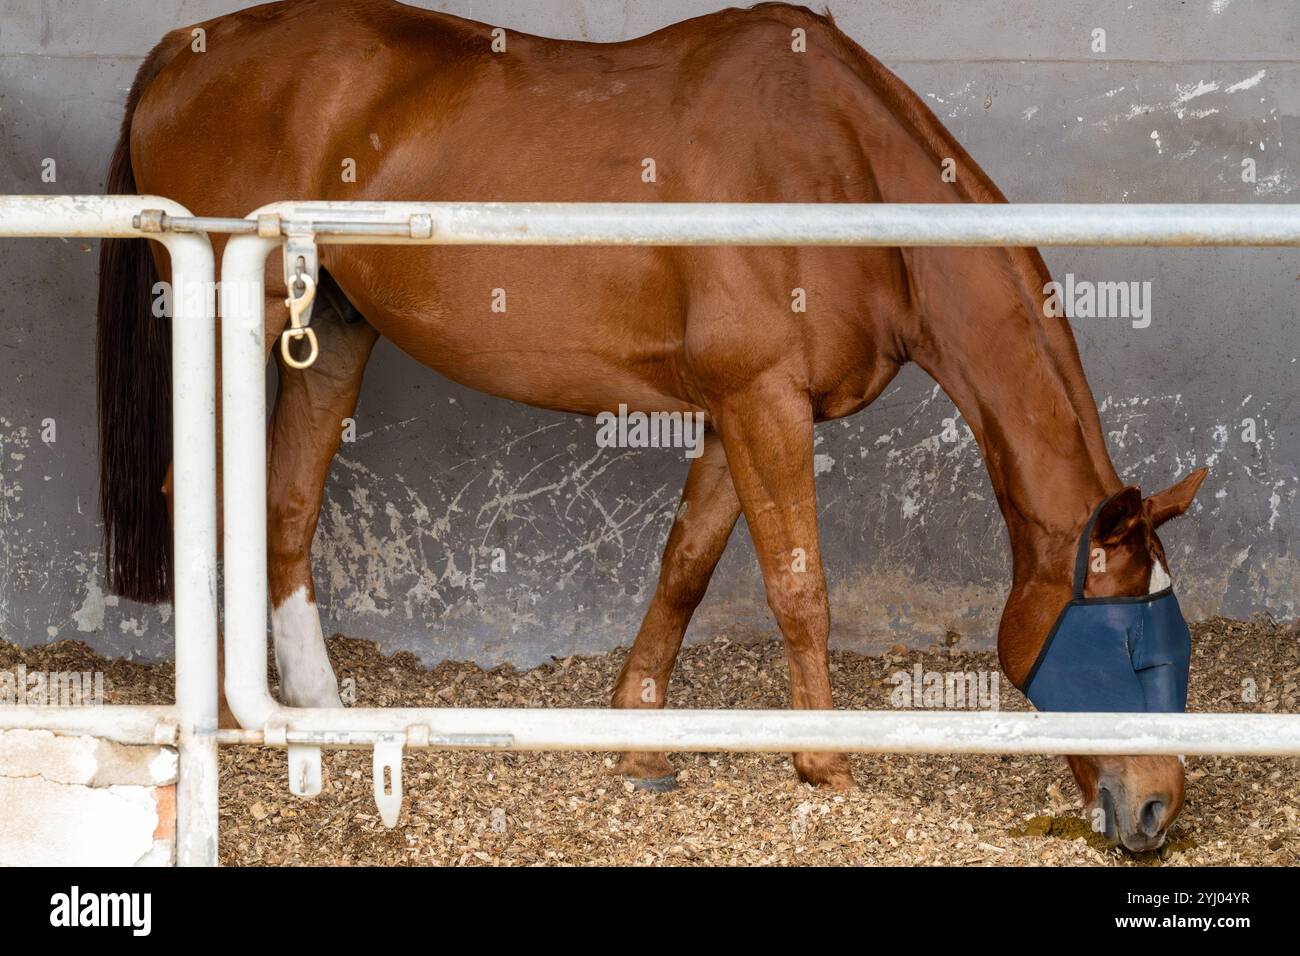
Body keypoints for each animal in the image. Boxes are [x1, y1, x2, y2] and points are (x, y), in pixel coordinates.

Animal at [96, 0, 1207, 851]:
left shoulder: (739, 409)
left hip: (329, 329)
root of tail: (186, 44)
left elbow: (687, 562)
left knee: (286, 502)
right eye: (1121, 646)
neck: (838, 169)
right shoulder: (763, 402)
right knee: (205, 495)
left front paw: (639, 745)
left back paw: (316, 715)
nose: (1154, 811)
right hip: (230, 322)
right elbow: (798, 586)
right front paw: (829, 768)